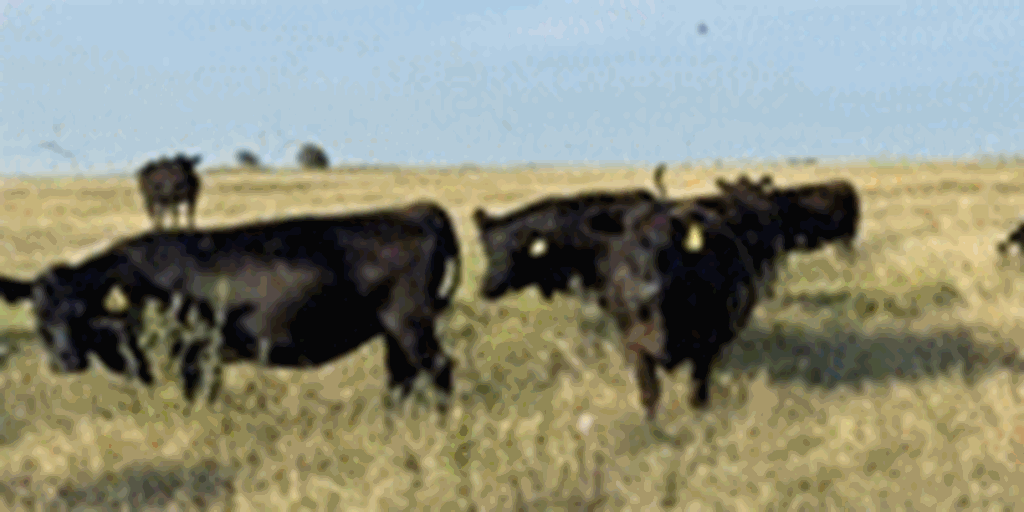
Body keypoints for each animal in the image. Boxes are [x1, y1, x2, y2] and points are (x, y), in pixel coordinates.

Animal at [0, 201, 464, 410]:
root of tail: (415, 210)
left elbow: (197, 400)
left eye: (82, 311)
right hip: (395, 331)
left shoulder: (193, 355)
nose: (66, 361)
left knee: (437, 368)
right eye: (39, 314)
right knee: (402, 376)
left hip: (409, 322)